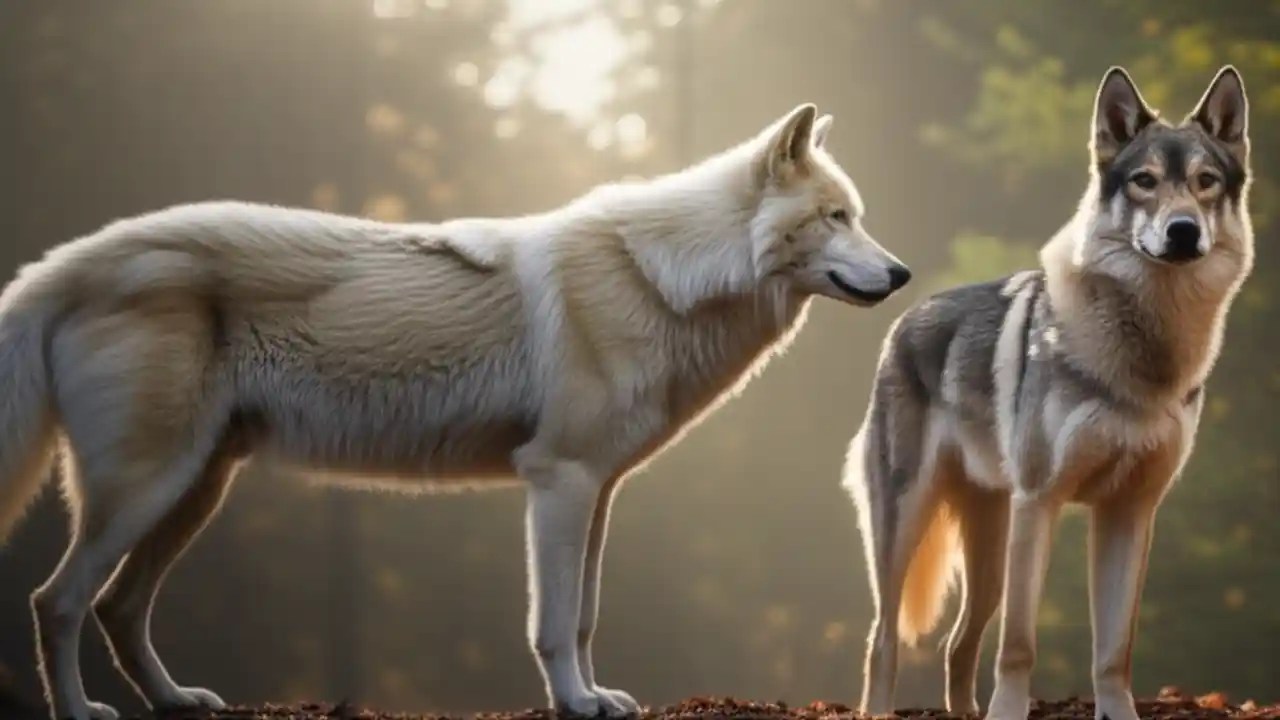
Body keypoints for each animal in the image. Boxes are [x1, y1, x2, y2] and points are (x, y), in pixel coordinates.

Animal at [0, 103, 910, 720]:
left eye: (859, 217)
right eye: (835, 217)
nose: (902, 274)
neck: (663, 275)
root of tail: (65, 262)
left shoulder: (600, 492)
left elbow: (587, 617)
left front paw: (599, 695)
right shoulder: (558, 482)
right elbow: (555, 623)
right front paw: (576, 702)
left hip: (194, 489)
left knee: (117, 608)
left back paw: (176, 698)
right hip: (146, 488)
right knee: (55, 601)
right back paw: (79, 708)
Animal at [844, 66, 1252, 720]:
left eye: (1205, 182)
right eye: (1144, 182)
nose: (1183, 231)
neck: (1142, 349)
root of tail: (907, 315)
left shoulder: (1130, 513)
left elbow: (1113, 650)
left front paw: (1118, 712)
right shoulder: (1040, 503)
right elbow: (1019, 644)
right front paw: (1010, 711)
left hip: (990, 552)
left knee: (958, 643)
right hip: (910, 525)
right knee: (883, 636)